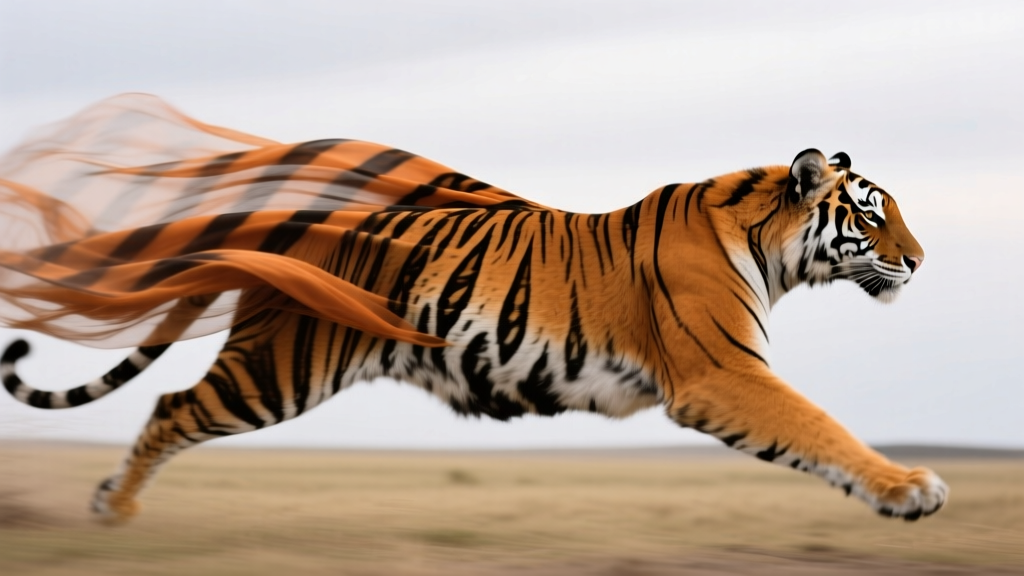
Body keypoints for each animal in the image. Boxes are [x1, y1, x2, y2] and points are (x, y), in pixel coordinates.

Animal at [0, 94, 946, 522]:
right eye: (871, 214)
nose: (920, 260)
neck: (771, 245)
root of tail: (286, 221)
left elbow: (815, 433)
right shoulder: (719, 373)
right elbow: (818, 425)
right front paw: (910, 488)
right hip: (280, 370)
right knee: (171, 405)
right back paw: (114, 511)